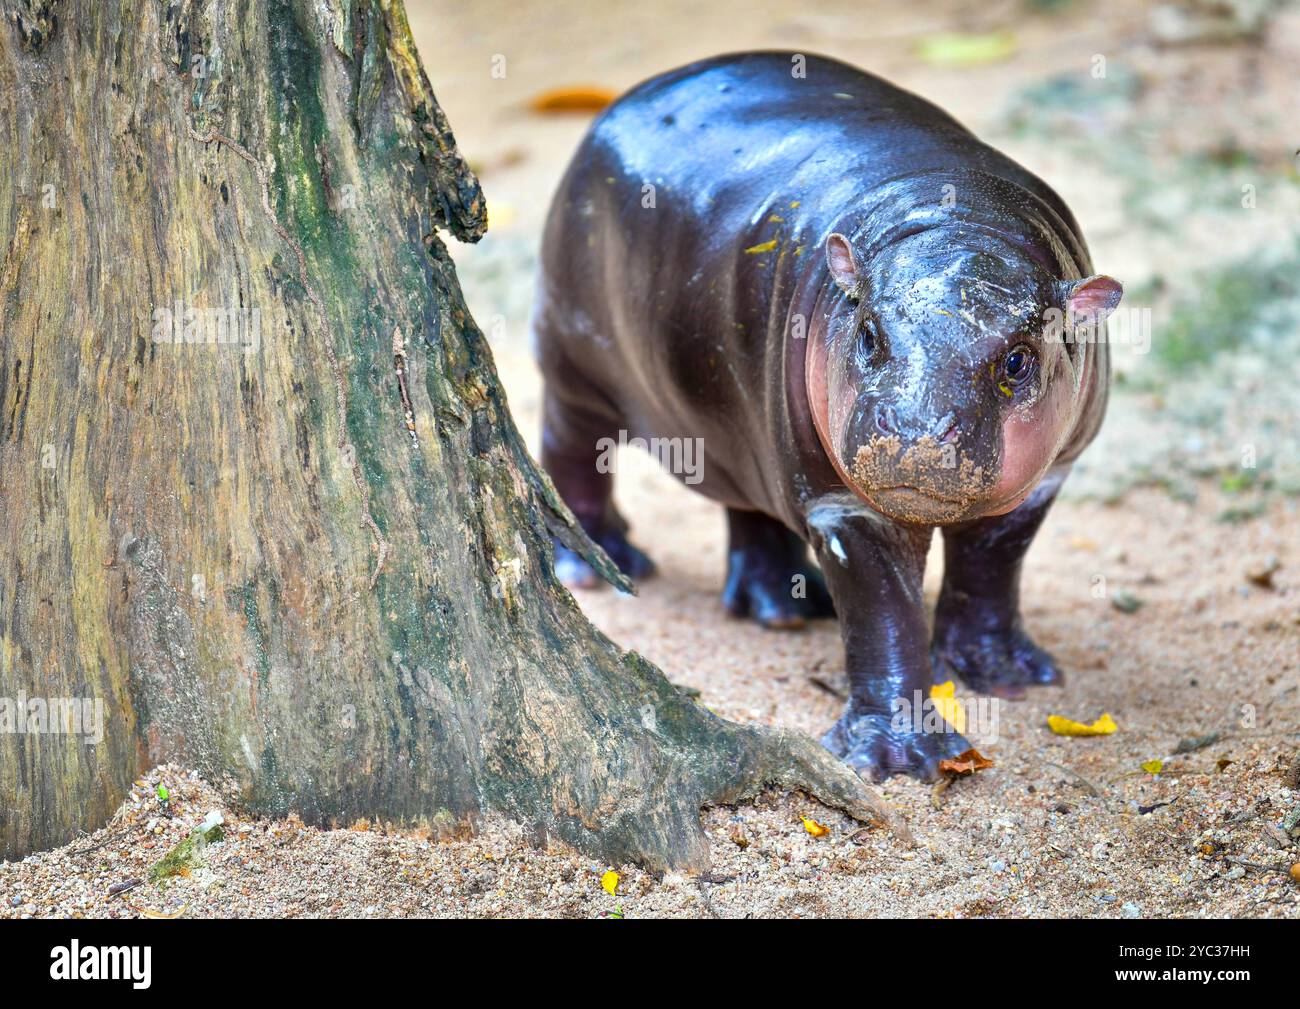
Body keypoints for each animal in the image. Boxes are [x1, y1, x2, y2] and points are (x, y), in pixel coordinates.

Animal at [531, 52, 1122, 780]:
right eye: (868, 331)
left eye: (1018, 358)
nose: (917, 433)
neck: (958, 222)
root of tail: (628, 98)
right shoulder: (843, 504)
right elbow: (885, 616)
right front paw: (896, 757)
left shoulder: (1047, 475)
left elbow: (991, 567)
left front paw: (1006, 676)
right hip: (574, 363)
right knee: (570, 451)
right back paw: (599, 563)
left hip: (739, 423)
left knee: (750, 502)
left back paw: (784, 607)